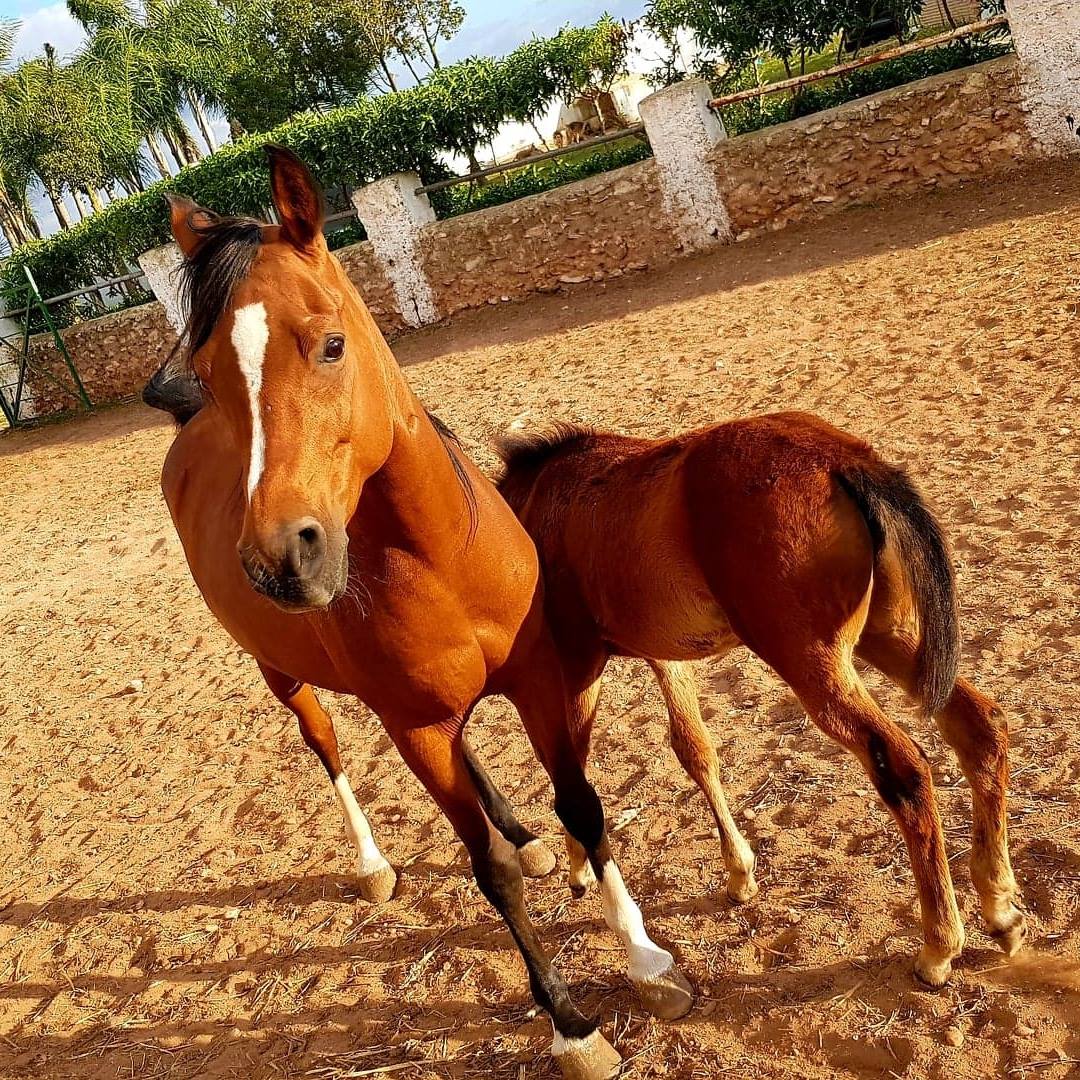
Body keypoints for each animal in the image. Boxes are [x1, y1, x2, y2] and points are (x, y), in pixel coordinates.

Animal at [149, 145, 692, 1080]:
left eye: (330, 344)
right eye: (215, 376)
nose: (281, 559)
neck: (438, 557)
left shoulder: (538, 679)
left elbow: (583, 807)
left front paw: (645, 958)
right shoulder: (414, 728)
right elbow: (488, 875)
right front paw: (572, 1026)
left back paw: (522, 833)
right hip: (286, 677)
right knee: (326, 748)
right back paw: (375, 864)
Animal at [492, 415, 1027, 989]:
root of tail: (842, 457)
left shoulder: (577, 665)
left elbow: (573, 777)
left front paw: (579, 868)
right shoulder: (665, 656)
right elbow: (696, 752)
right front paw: (739, 873)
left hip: (814, 665)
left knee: (903, 766)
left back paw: (938, 945)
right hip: (888, 639)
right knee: (980, 727)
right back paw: (1000, 907)